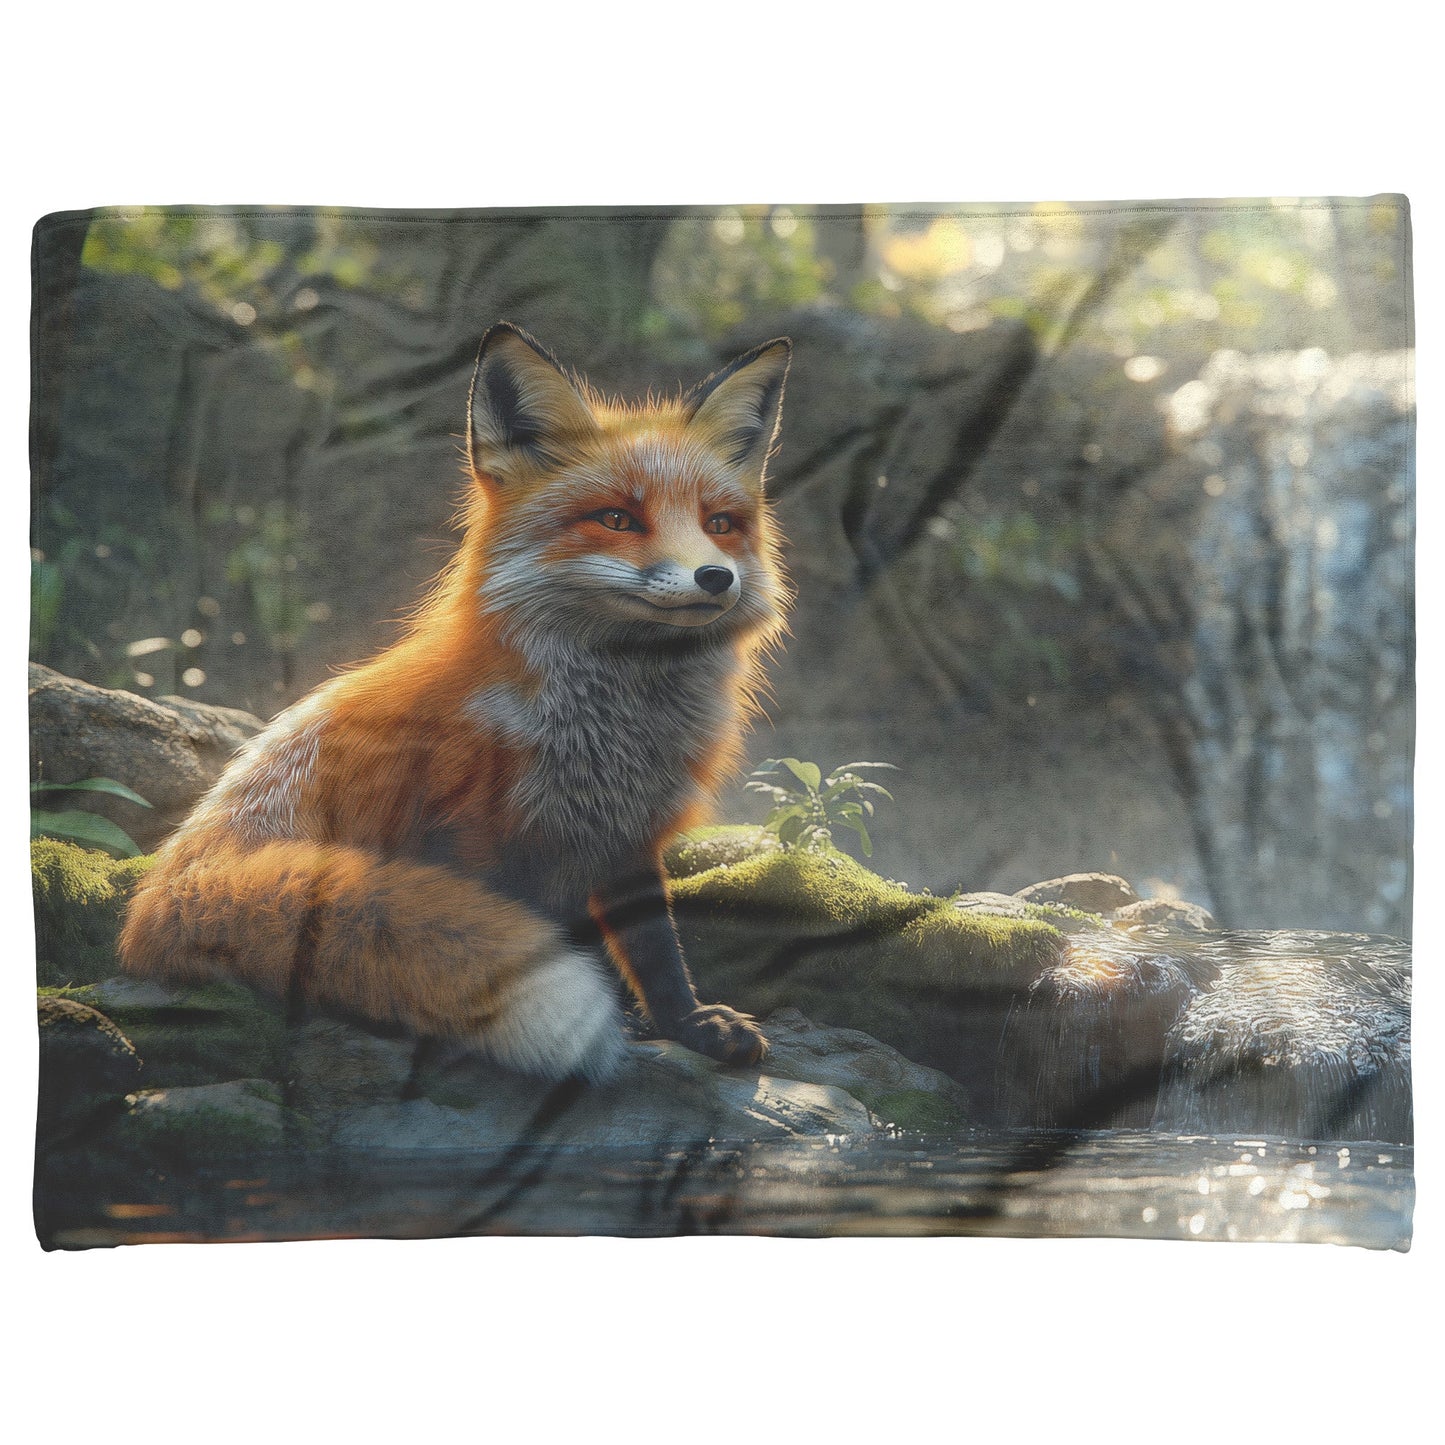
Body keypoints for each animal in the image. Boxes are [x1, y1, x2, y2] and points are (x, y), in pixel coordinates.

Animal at [118, 322, 793, 1081]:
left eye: (720, 523)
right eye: (617, 518)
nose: (715, 577)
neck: (603, 728)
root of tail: (158, 892)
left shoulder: (624, 832)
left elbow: (657, 953)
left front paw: (688, 1024)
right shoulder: (472, 836)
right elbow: (514, 941)